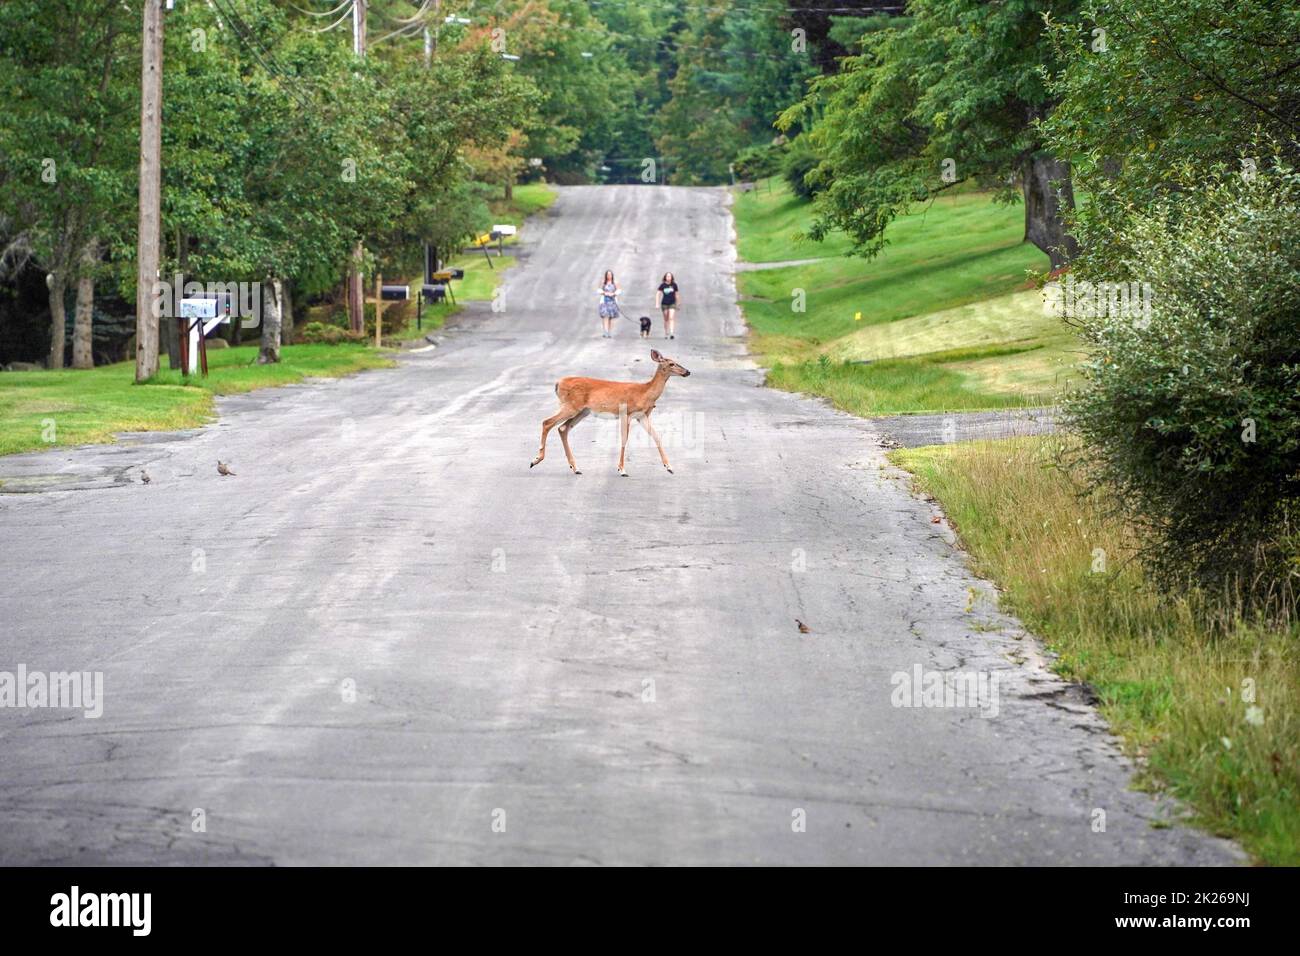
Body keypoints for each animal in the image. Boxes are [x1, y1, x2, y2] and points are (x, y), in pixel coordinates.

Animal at [530, 350, 691, 477]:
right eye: (671, 364)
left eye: (676, 362)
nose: (688, 371)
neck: (645, 392)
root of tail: (558, 383)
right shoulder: (626, 413)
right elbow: (624, 439)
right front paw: (622, 470)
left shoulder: (642, 416)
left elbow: (657, 437)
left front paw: (669, 467)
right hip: (571, 406)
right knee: (547, 422)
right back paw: (535, 460)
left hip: (583, 411)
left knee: (562, 428)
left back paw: (575, 468)